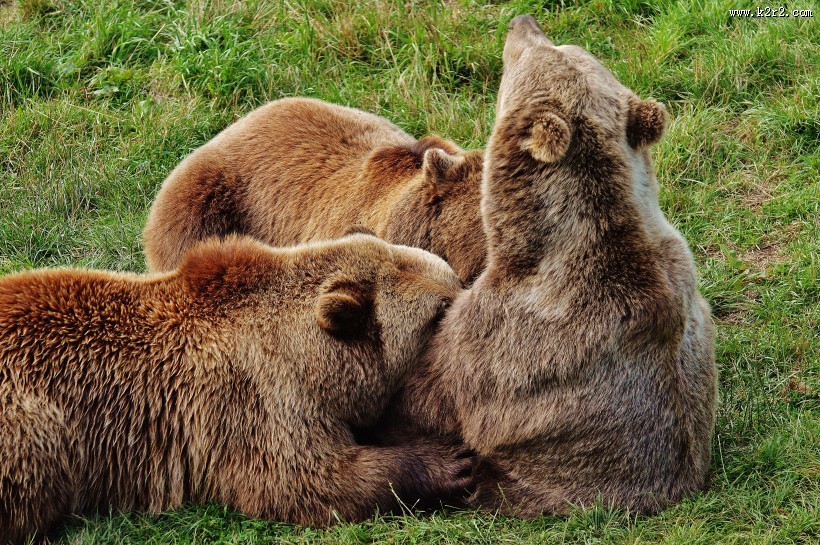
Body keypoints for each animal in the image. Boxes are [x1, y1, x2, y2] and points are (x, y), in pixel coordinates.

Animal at [0, 234, 472, 544]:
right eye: (438, 311)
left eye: (451, 278)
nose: (466, 292)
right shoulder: (256, 396)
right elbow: (302, 479)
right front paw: (449, 462)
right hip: (33, 424)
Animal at [387, 15, 717, 516]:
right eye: (569, 46)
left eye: (527, 55)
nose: (522, 22)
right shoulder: (680, 269)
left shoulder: (498, 343)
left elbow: (430, 392)